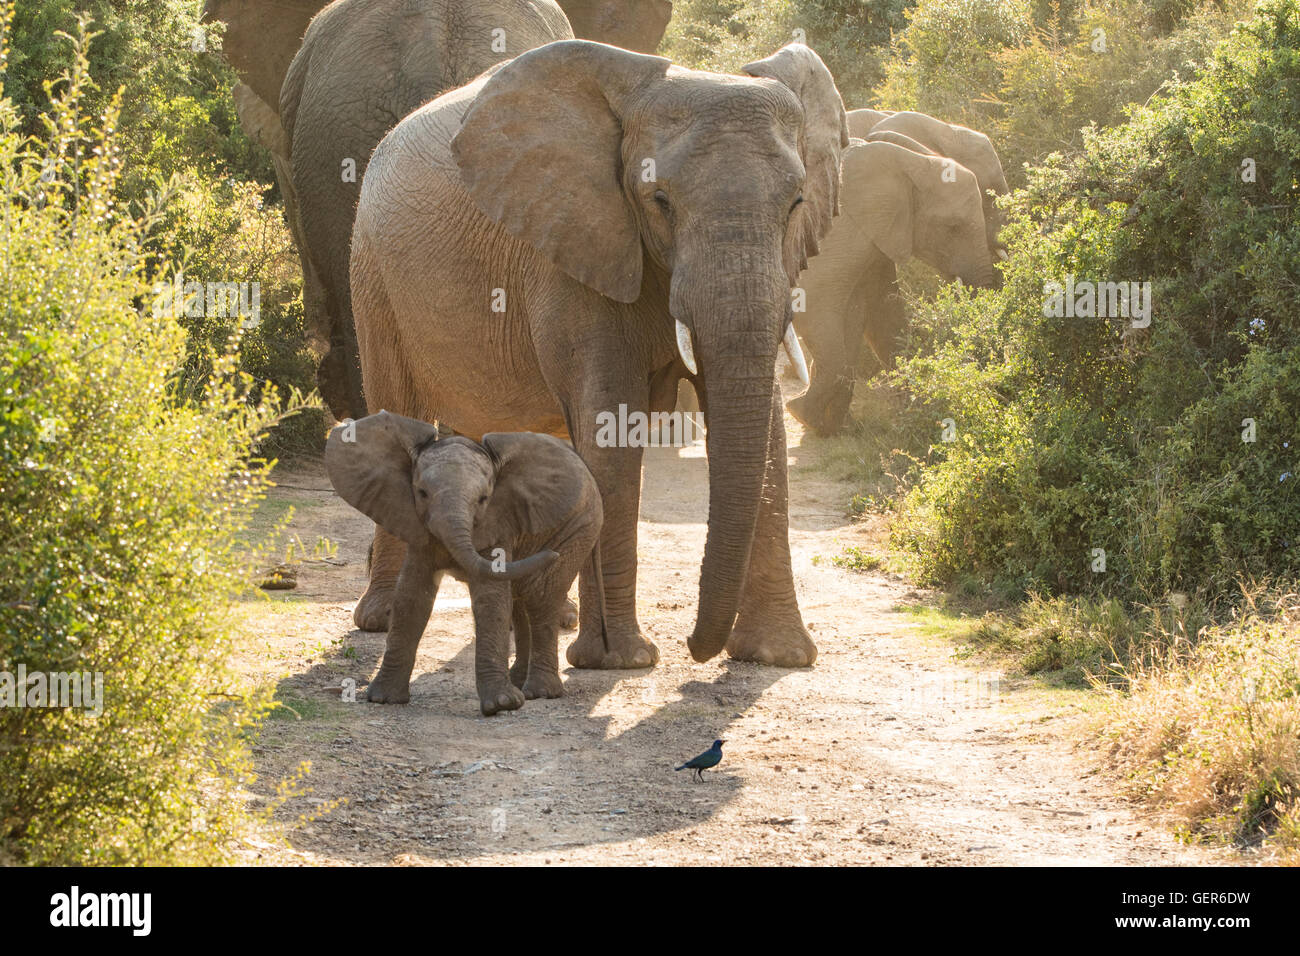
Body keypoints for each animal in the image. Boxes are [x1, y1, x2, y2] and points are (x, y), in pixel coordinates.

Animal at [325, 411, 603, 715]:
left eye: (483, 499)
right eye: (421, 493)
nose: (551, 554)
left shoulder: (497, 522)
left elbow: (490, 598)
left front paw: (501, 705)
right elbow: (412, 596)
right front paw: (383, 699)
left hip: (582, 527)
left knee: (541, 596)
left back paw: (539, 693)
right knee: (521, 601)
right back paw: (519, 683)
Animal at [348, 39, 850, 669]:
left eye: (796, 203)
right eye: (659, 201)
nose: (695, 649)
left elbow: (768, 434)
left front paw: (777, 657)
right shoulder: (573, 245)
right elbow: (611, 430)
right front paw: (618, 660)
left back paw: (544, 613)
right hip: (371, 271)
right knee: (395, 408)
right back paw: (383, 619)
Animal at [786, 140, 999, 436]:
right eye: (953, 227)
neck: (909, 162)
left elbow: (880, 312)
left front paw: (828, 426)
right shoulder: (838, 228)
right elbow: (813, 299)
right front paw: (803, 415)